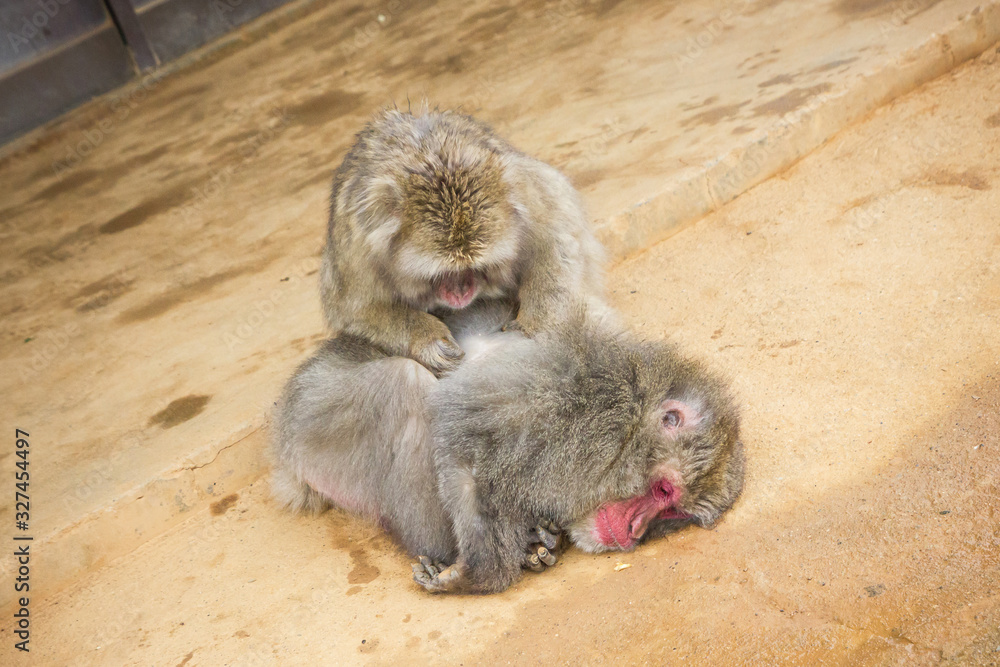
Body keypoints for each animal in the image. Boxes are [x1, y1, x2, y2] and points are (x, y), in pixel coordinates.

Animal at [271, 301, 745, 594]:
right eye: (664, 492)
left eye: (673, 514)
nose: (636, 530)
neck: (630, 420)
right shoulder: (574, 410)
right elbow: (461, 436)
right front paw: (480, 574)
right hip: (316, 416)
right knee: (403, 386)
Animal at [319, 107, 606, 376]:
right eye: (442, 273)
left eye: (475, 268)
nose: (460, 292)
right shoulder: (356, 249)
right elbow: (354, 309)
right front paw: (426, 338)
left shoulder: (527, 196)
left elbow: (557, 236)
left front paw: (537, 327)